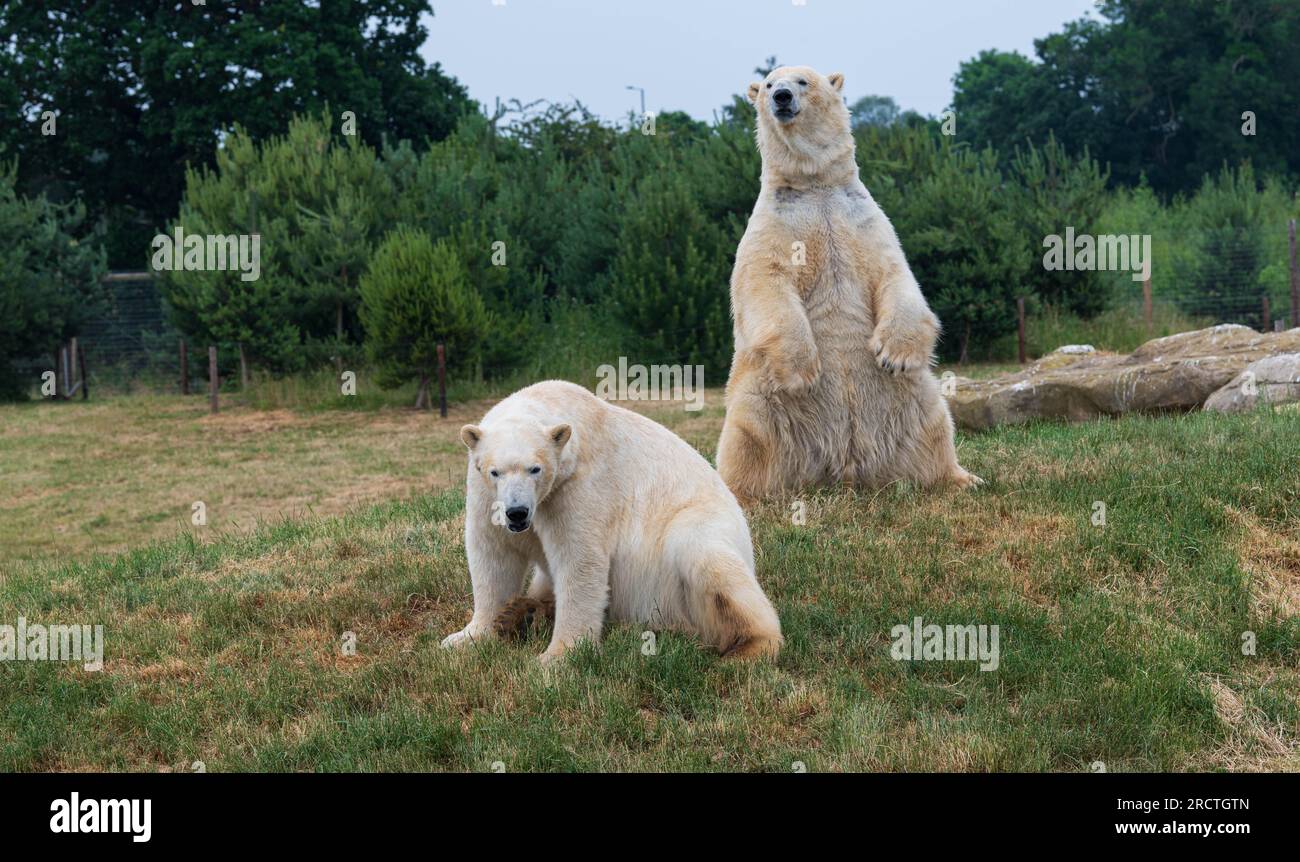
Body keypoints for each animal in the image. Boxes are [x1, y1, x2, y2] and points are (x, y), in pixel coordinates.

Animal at [441, 379, 780, 665]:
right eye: (494, 471)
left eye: (535, 469)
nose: (517, 512)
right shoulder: (486, 496)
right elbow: (493, 555)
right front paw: (467, 636)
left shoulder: (579, 487)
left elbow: (580, 560)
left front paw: (558, 656)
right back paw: (523, 611)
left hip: (696, 532)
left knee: (709, 563)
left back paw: (749, 648)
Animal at [717, 65, 977, 499]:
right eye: (768, 84)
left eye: (803, 81)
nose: (782, 97)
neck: (814, 185)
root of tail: (845, 469)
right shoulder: (773, 227)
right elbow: (766, 280)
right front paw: (803, 371)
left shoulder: (864, 220)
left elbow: (894, 273)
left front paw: (894, 353)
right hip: (760, 392)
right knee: (746, 436)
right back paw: (737, 490)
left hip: (908, 395)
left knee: (933, 421)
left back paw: (961, 477)